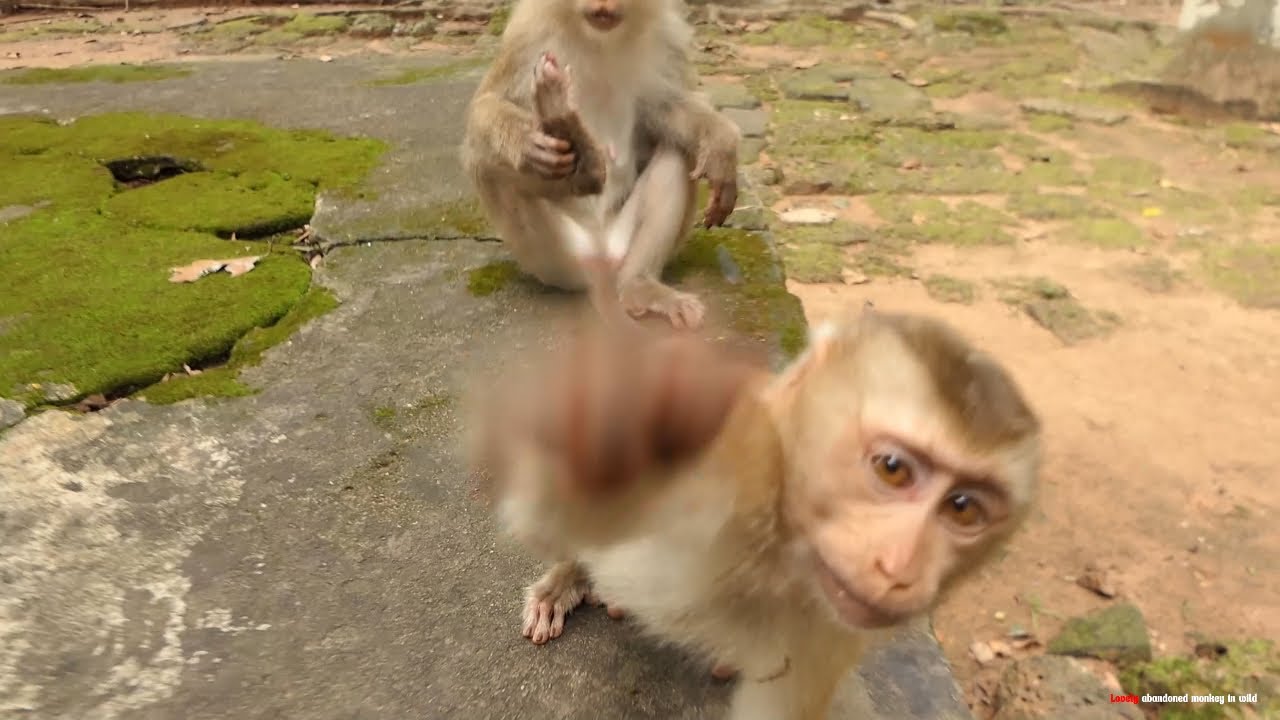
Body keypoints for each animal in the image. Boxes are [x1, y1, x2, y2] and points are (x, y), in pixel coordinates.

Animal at [460, 0, 743, 331]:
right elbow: (486, 104)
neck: (598, 40)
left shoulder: (667, 36)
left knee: (676, 153)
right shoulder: (526, 31)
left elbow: (667, 106)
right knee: (488, 166)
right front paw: (528, 142)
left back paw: (638, 284)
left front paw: (722, 145)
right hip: (557, 264)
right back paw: (575, 149)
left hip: (620, 243)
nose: (603, 5)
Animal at [470, 304, 1042, 719]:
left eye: (963, 507)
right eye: (893, 469)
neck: (782, 549)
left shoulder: (834, 624)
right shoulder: (725, 468)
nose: (899, 568)